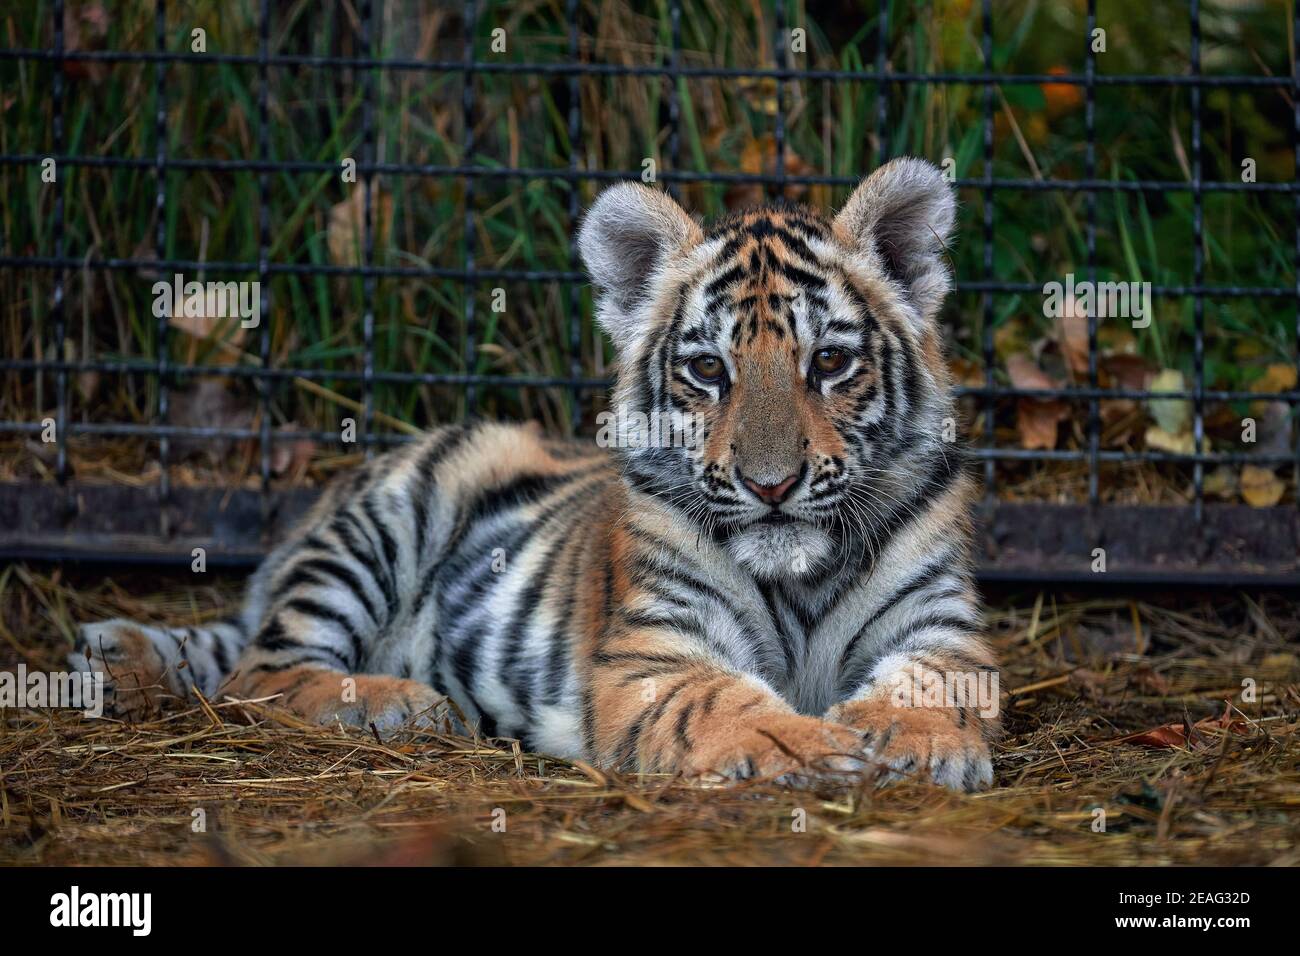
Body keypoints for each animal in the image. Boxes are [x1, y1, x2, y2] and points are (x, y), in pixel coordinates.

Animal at [70, 157, 999, 790]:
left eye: (830, 362)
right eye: (707, 371)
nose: (771, 486)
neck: (799, 579)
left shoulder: (943, 625)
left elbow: (931, 681)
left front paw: (915, 744)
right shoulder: (653, 651)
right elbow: (722, 701)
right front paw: (809, 745)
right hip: (386, 522)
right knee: (256, 674)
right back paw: (398, 702)